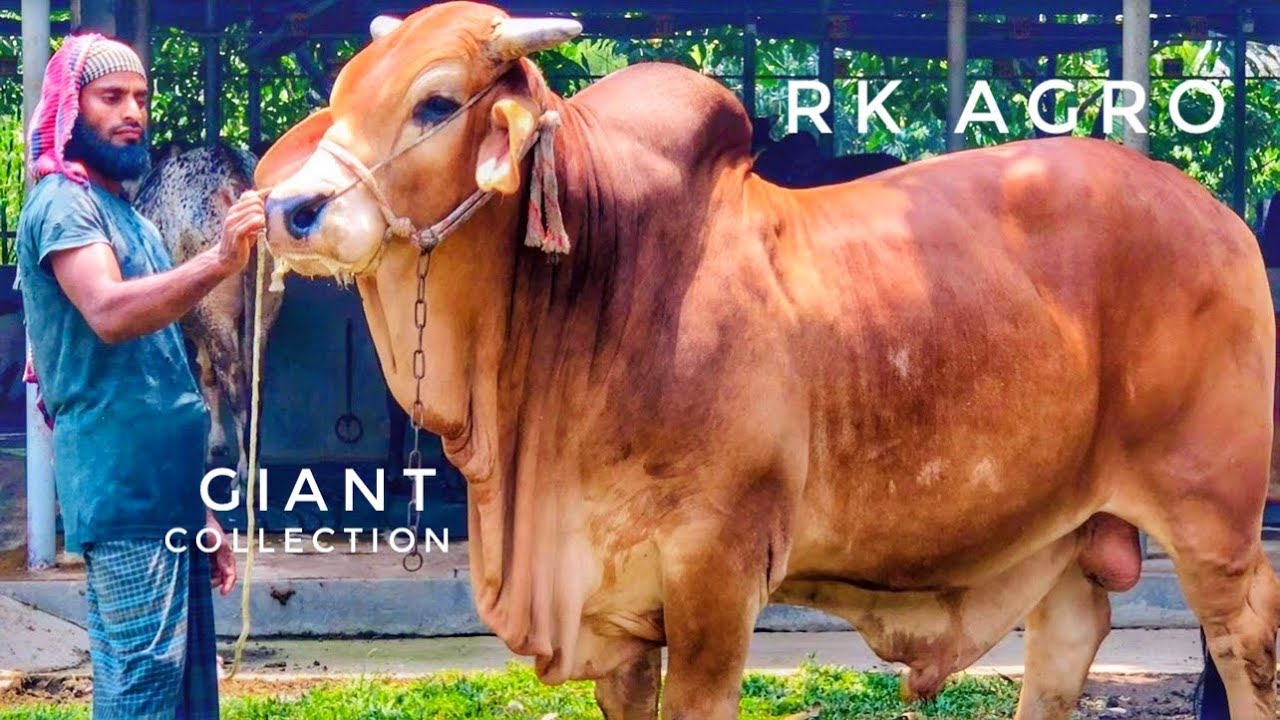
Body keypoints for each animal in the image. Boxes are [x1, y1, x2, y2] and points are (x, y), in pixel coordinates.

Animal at [131, 143, 284, 485]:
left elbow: (206, 374)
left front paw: (214, 446)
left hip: (214, 308)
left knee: (234, 380)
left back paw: (245, 472)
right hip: (264, 303)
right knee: (256, 379)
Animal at [252, 3, 1280, 718]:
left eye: (433, 100)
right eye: (344, 92)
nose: (292, 209)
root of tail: (1221, 220)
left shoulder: (717, 575)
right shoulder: (615, 615)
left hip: (1214, 522)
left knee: (1246, 647)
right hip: (1066, 526)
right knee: (1067, 641)